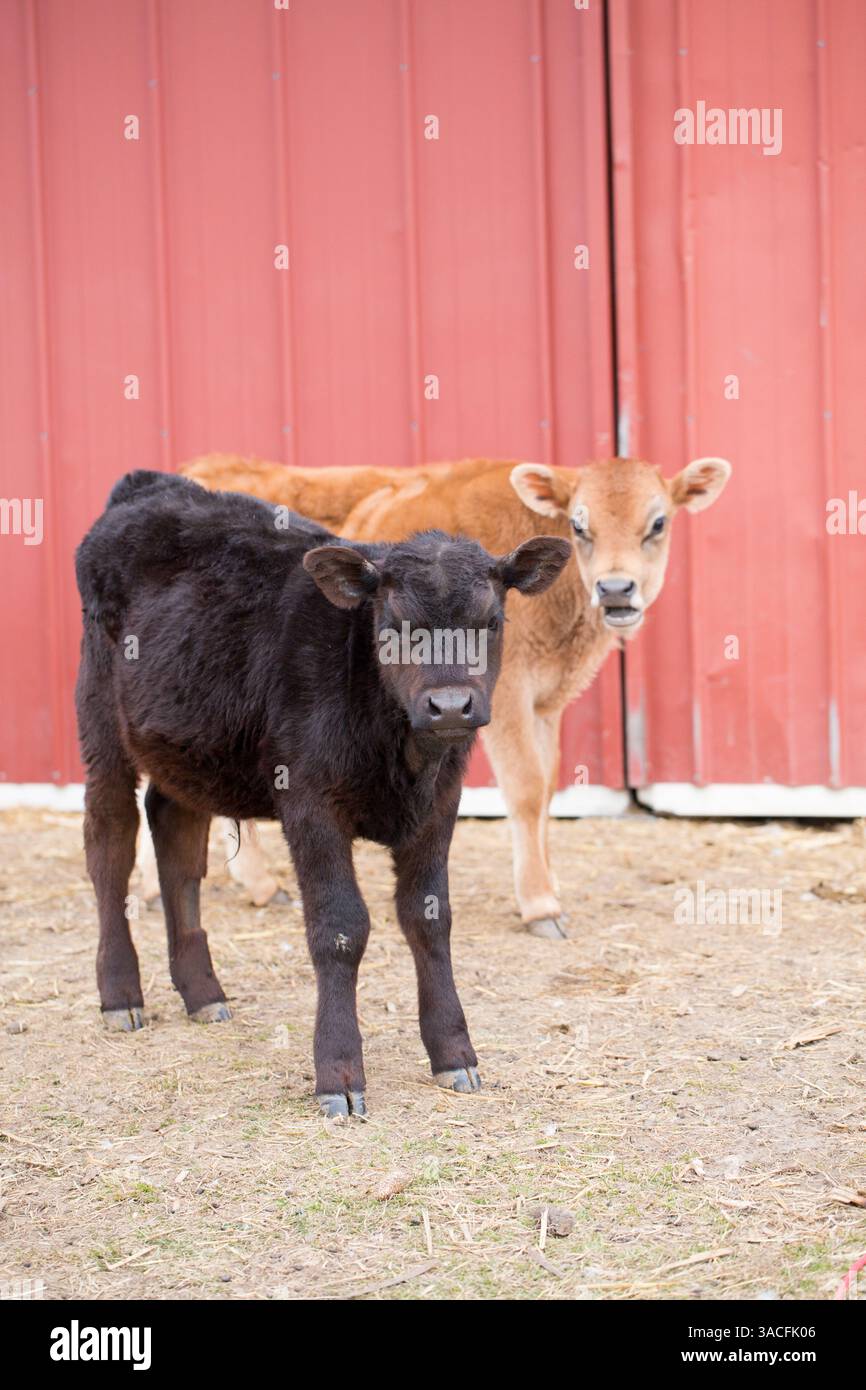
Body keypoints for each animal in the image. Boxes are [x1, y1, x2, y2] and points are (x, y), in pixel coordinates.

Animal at [75, 470, 569, 1116]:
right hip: (102, 723)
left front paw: (454, 1054)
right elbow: (340, 927)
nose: (450, 706)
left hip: (186, 739)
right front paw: (339, 1073)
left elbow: (429, 918)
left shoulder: (441, 803)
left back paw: (204, 992)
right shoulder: (309, 801)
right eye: (394, 626)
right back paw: (120, 995)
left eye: (491, 622)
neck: (399, 750)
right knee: (110, 842)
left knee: (176, 839)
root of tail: (151, 486)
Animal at [153, 453, 731, 937]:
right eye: (578, 524)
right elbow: (525, 788)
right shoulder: (508, 694)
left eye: (658, 523)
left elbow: (547, 787)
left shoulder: (545, 704)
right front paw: (540, 905)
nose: (615, 590)